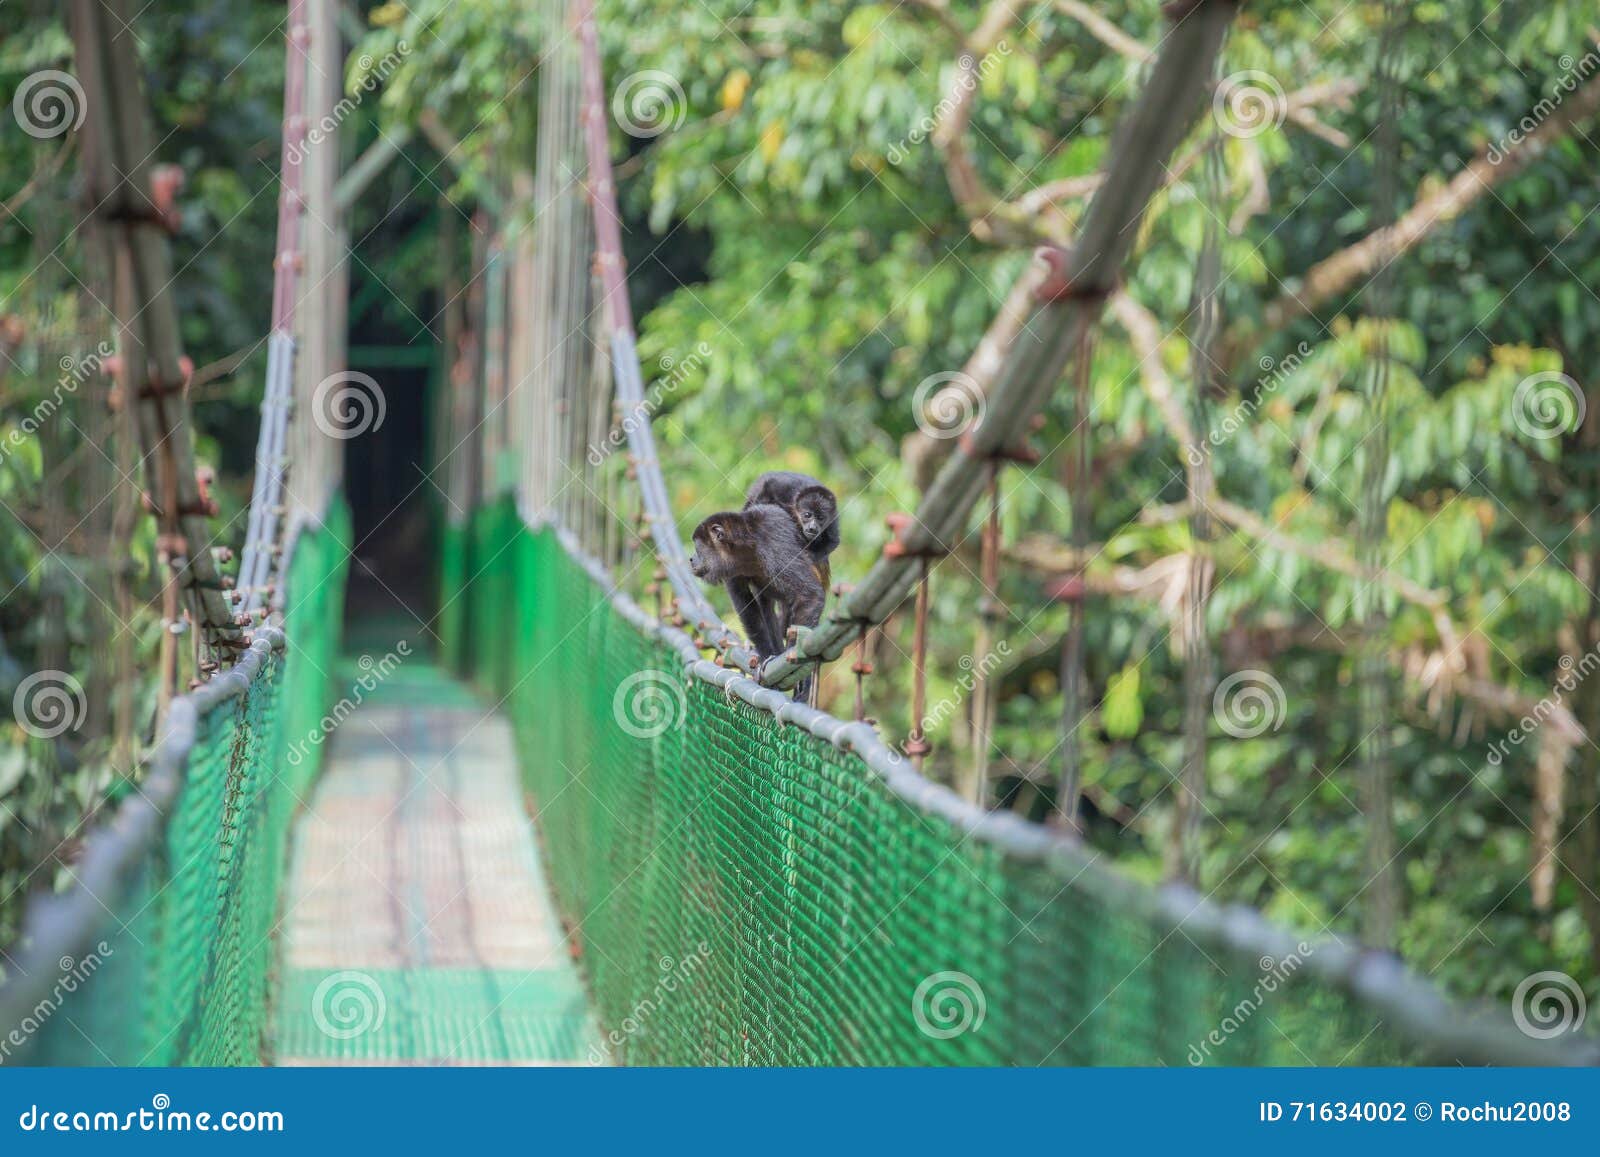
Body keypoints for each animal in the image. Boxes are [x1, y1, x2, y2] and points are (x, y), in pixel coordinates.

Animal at [689, 504, 826, 698]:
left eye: (697, 546)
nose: (691, 558)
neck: (747, 547)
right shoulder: (733, 570)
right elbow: (748, 608)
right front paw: (764, 658)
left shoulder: (774, 544)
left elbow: (810, 595)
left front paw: (795, 663)